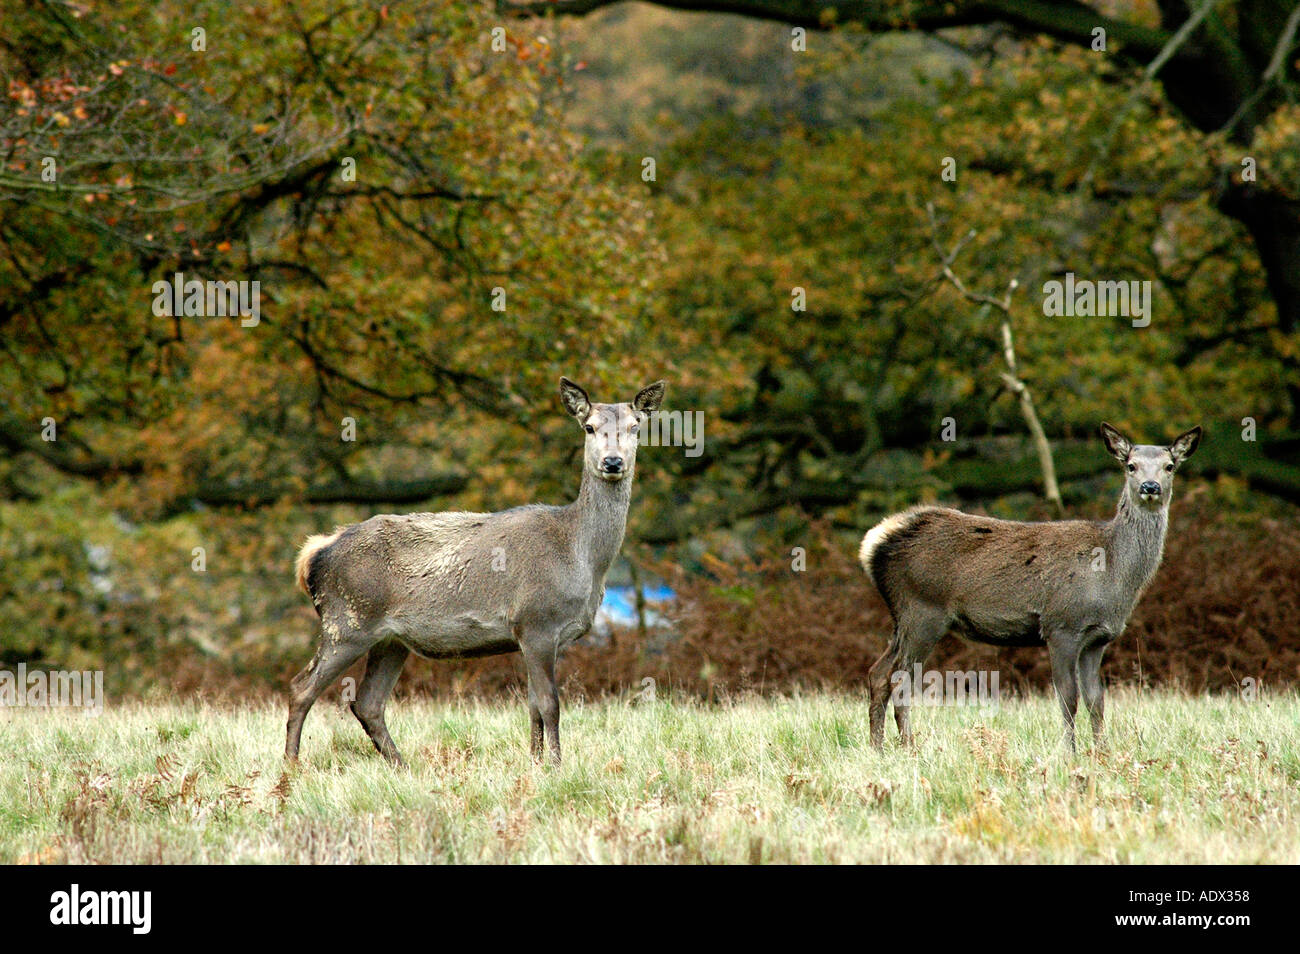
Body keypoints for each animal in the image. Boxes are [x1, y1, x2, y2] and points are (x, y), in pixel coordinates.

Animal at [285, 376, 665, 767]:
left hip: (390, 640)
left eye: (636, 427)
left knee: (368, 702)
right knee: (302, 688)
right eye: (588, 426)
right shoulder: (536, 621)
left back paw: (402, 766)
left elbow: (532, 707)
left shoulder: (536, 635)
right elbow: (551, 705)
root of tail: (313, 555)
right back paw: (292, 766)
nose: (613, 461)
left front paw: (535, 763)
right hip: (346, 621)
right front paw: (557, 766)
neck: (583, 558)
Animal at [859, 423, 1201, 753]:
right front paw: (1070, 753)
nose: (1150, 487)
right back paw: (908, 747)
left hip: (905, 618)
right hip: (923, 610)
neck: (1114, 574)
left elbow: (1096, 700)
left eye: (1169, 466)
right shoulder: (1061, 625)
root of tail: (874, 542)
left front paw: (1103, 753)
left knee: (878, 673)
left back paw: (877, 748)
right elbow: (1068, 697)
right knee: (899, 678)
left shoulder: (1098, 638)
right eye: (1131, 465)